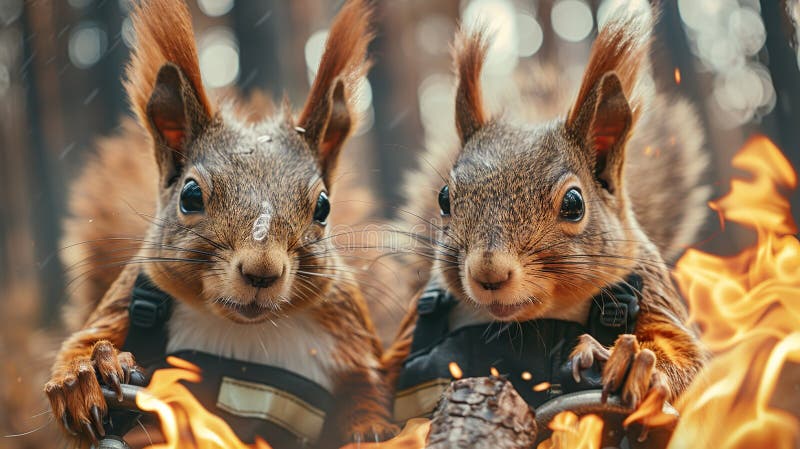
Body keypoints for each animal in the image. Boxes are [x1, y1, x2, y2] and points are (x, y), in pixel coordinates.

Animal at [45, 0, 395, 446]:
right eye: (190, 196)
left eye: (323, 207)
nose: (262, 272)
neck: (243, 330)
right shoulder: (128, 299)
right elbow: (81, 342)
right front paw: (82, 376)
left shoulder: (346, 321)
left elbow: (367, 383)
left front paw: (371, 427)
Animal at [384, 9, 710, 423]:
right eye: (444, 199)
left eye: (574, 203)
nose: (489, 274)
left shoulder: (650, 289)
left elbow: (688, 358)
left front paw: (633, 364)